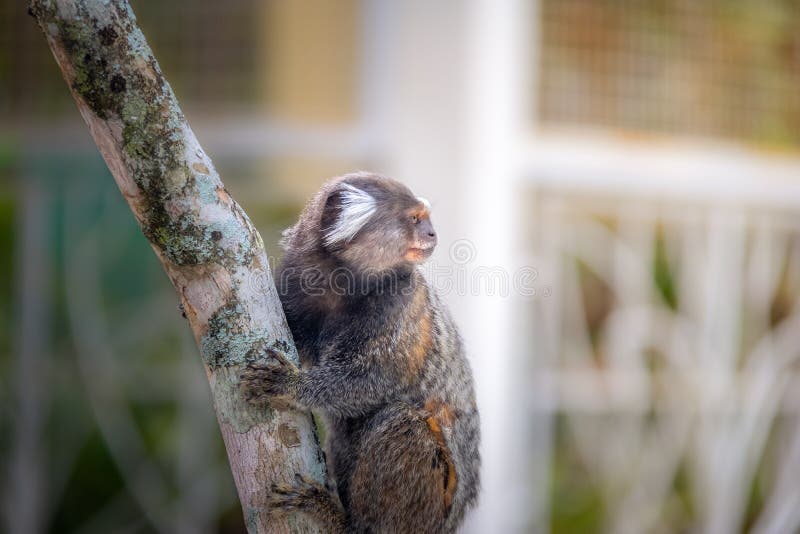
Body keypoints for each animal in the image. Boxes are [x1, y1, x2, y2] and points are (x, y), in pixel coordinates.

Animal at [240, 171, 480, 533]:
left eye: (425, 219)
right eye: (415, 219)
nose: (432, 234)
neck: (342, 281)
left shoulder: (398, 303)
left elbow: (373, 381)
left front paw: (290, 387)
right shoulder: (290, 284)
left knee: (403, 423)